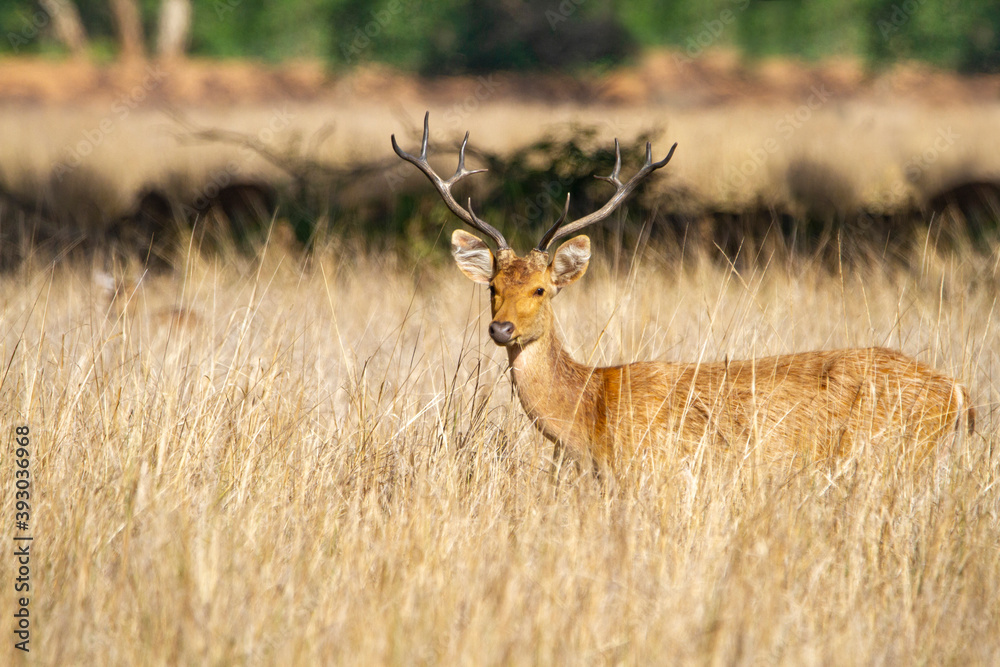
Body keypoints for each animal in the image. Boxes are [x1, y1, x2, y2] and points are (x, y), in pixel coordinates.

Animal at [392, 113, 974, 475]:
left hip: (892, 454)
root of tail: (959, 394)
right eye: (492, 286)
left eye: (542, 288)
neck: (591, 412)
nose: (501, 328)